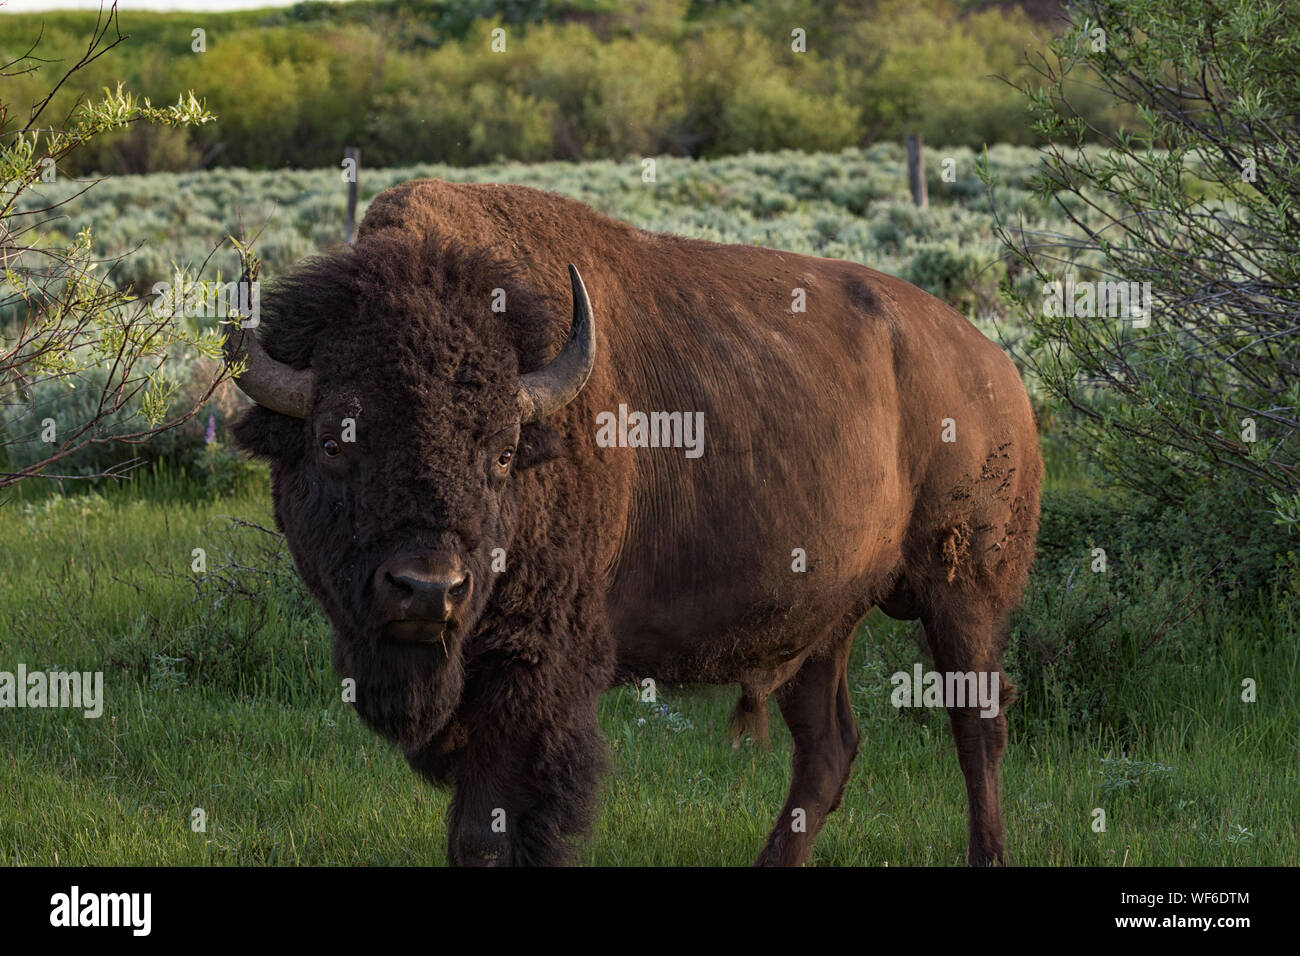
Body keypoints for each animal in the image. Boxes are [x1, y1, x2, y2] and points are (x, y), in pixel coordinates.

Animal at [223, 179, 1042, 866]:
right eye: (334, 441)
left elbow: (491, 831)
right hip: (822, 620)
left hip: (964, 594)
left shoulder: (534, 683)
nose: (429, 590)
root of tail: (995, 367)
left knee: (978, 729)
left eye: (503, 451)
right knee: (827, 750)